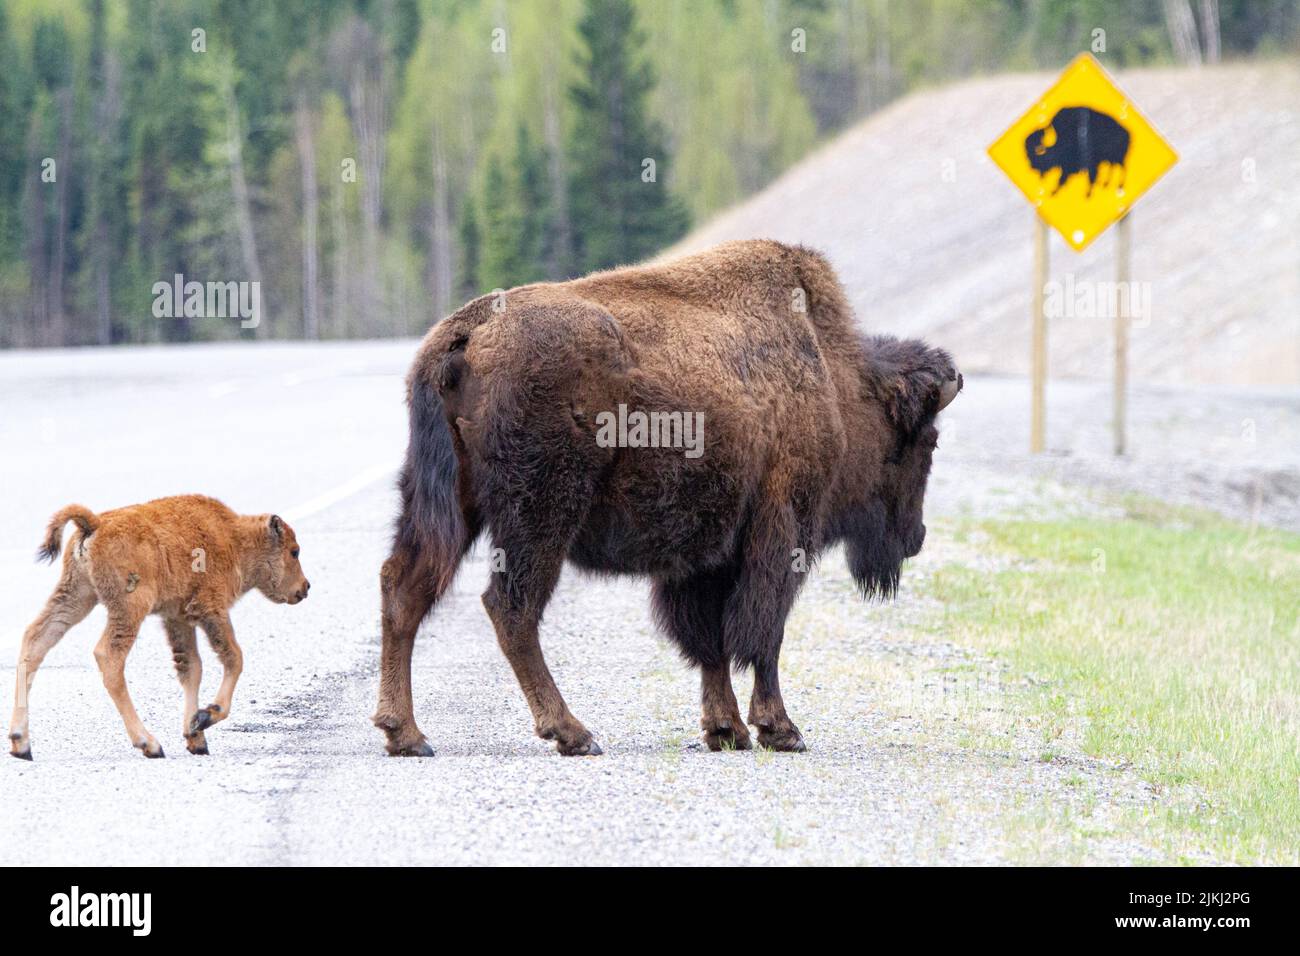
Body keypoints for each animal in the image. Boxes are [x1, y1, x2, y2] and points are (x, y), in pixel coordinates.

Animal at [8, 496, 310, 760]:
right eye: (294, 551)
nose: (305, 588)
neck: (233, 537)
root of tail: (94, 523)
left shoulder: (177, 618)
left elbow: (192, 669)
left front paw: (196, 737)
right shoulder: (211, 610)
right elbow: (233, 658)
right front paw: (206, 716)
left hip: (77, 597)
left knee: (36, 641)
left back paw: (20, 744)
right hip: (129, 609)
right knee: (108, 656)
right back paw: (150, 744)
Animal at [374, 239, 960, 757]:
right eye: (926, 441)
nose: (916, 537)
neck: (836, 379)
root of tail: (465, 331)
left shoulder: (707, 553)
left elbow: (710, 640)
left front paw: (726, 731)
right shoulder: (780, 533)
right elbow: (762, 633)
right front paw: (780, 729)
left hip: (448, 503)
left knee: (404, 589)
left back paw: (406, 735)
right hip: (540, 515)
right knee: (511, 607)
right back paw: (573, 733)